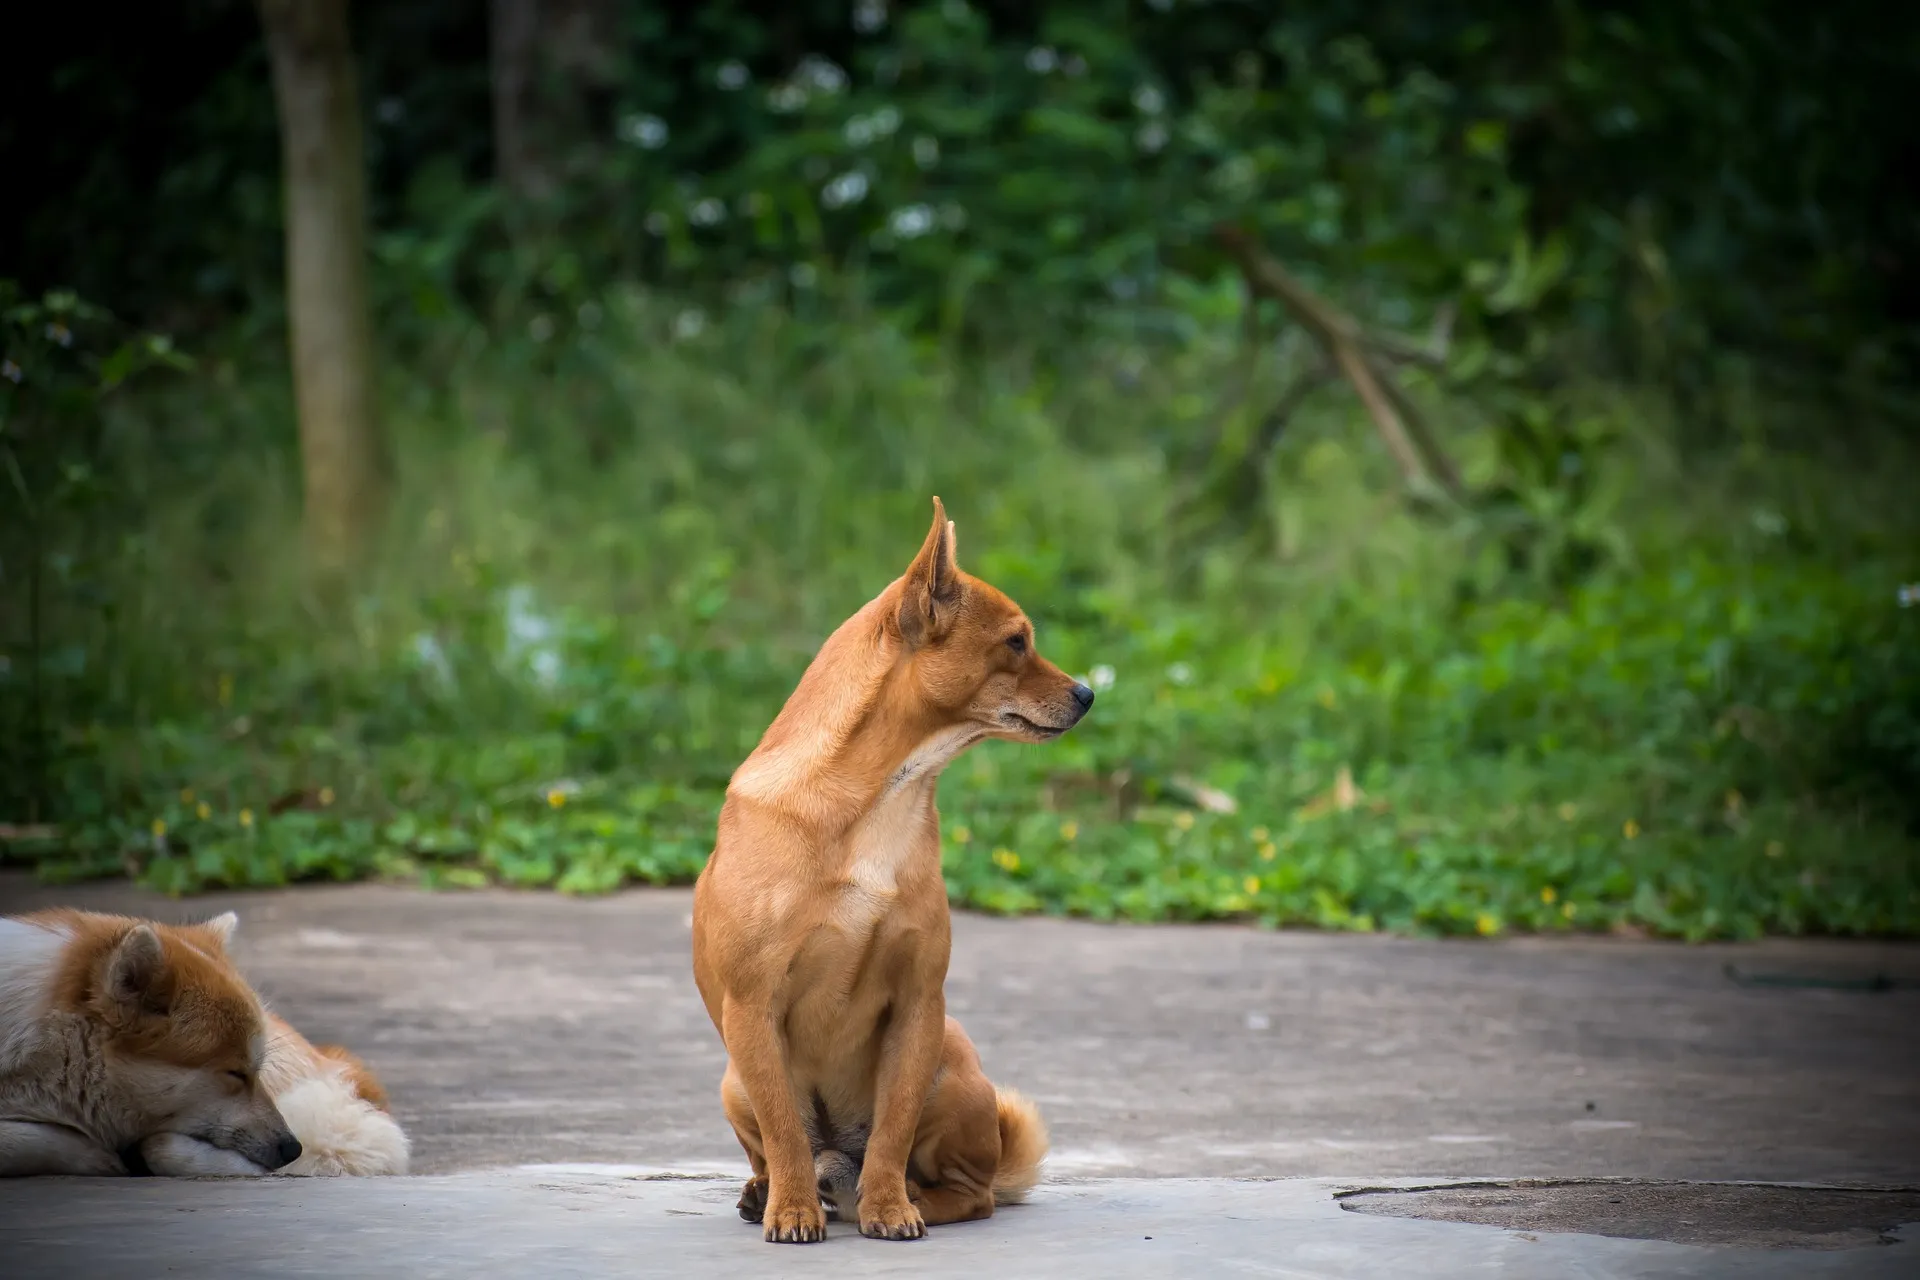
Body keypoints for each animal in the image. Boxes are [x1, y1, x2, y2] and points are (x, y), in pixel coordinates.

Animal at [691, 498, 1098, 1243]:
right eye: (1016, 642)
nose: (1088, 693)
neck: (878, 799)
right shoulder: (753, 1009)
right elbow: (785, 1131)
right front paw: (792, 1211)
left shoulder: (918, 1006)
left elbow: (892, 1131)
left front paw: (887, 1207)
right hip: (734, 1078)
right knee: (789, 1149)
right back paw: (774, 1193)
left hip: (952, 1069)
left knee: (970, 1191)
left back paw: (897, 1199)